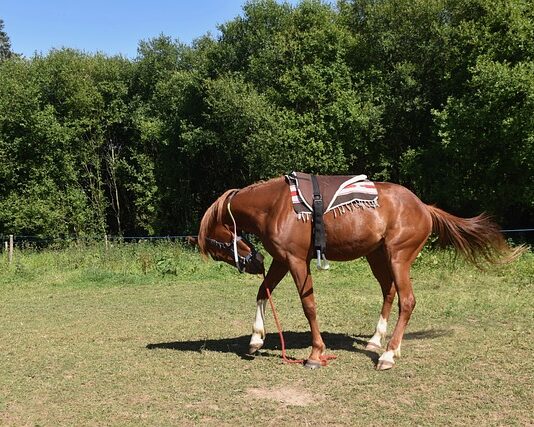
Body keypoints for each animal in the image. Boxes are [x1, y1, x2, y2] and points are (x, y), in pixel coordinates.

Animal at [197, 176, 524, 370]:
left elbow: (309, 305)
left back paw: (388, 354)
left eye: (216, 247)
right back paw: (376, 341)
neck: (276, 206)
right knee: (389, 293)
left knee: (407, 300)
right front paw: (255, 339)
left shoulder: (296, 261)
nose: (254, 263)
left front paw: (315, 354)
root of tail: (424, 206)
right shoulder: (281, 260)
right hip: (377, 257)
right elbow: (262, 291)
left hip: (398, 258)